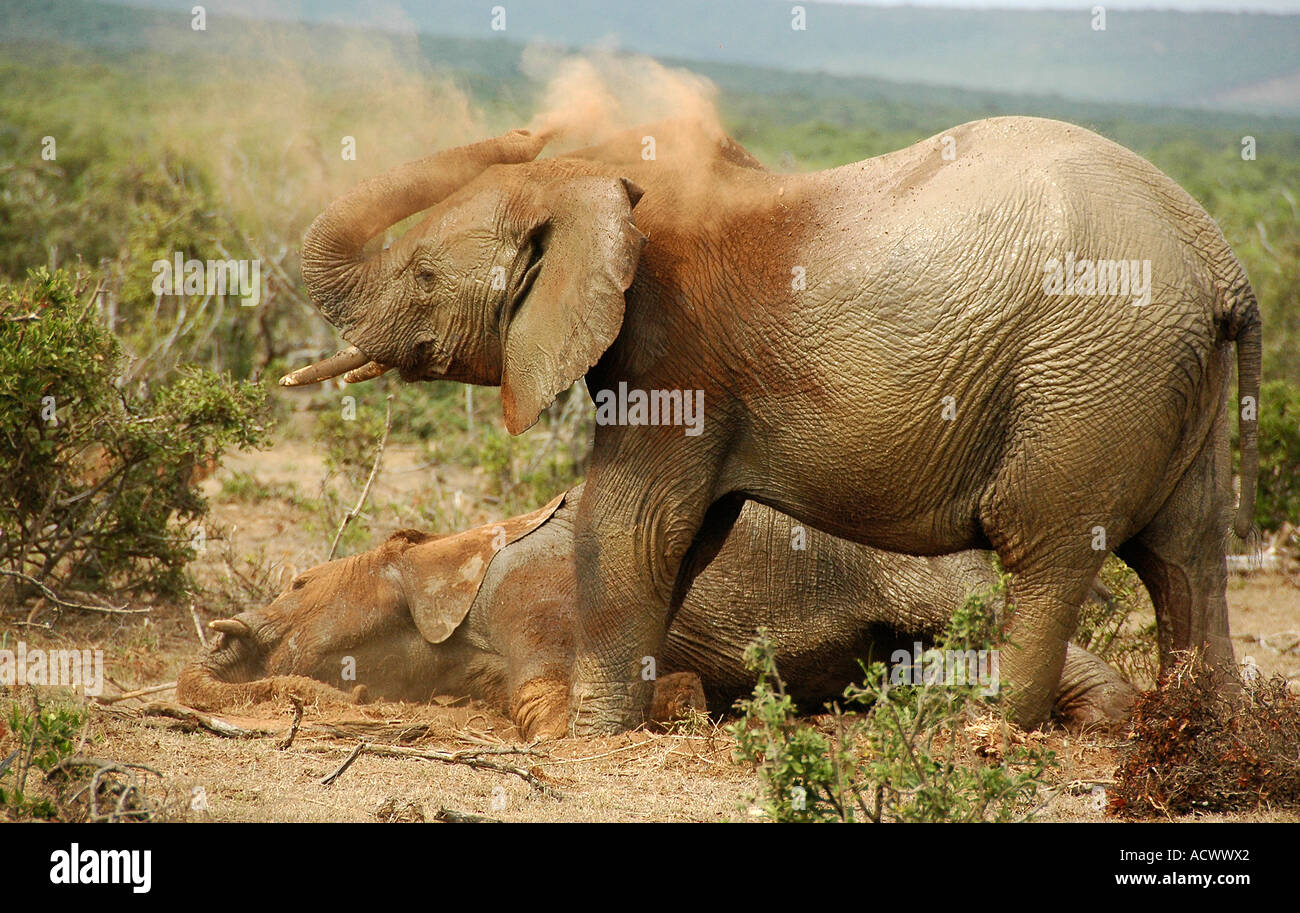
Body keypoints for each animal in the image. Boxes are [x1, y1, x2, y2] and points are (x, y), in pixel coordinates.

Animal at [178, 486, 1137, 739]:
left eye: (298, 582)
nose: (218, 642)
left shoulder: (547, 604)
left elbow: (553, 712)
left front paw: (680, 701)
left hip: (918, 572)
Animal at [281, 116, 1259, 732]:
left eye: (421, 277)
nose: (533, 128)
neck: (610, 192)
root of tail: (1220, 258)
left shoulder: (674, 350)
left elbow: (631, 526)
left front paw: (589, 735)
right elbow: (686, 536)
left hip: (1089, 374)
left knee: (1048, 554)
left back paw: (978, 736)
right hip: (1171, 380)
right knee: (1186, 554)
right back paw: (1202, 736)